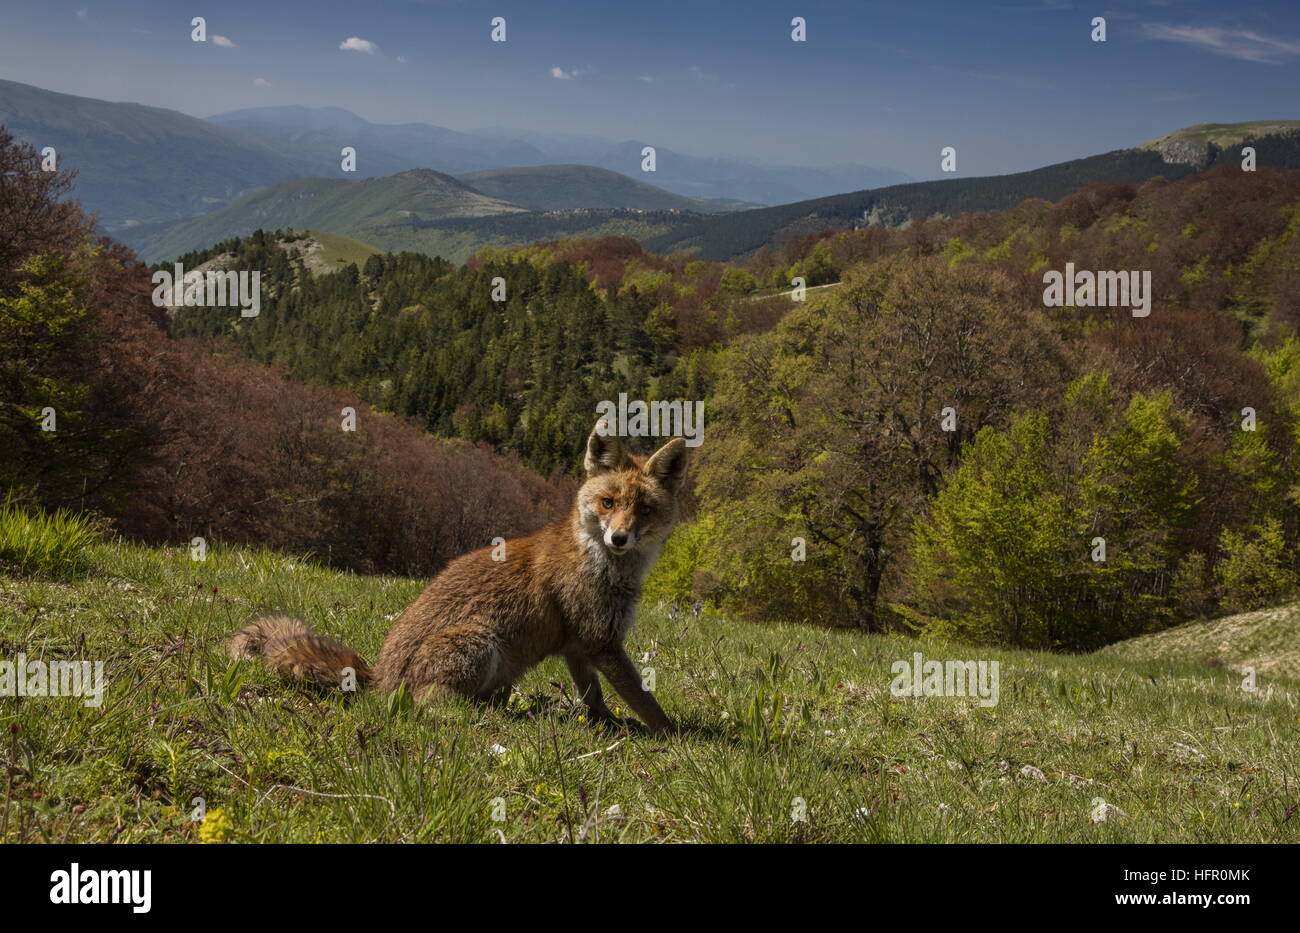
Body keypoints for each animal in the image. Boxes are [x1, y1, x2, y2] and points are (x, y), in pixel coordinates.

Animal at [228, 425, 688, 735]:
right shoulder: (602, 642)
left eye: (644, 510)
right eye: (608, 503)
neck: (601, 563)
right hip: (480, 642)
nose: (619, 537)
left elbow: (594, 698)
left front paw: (607, 725)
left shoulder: (580, 646)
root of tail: (379, 676)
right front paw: (676, 736)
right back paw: (490, 713)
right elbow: (644, 700)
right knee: (425, 703)